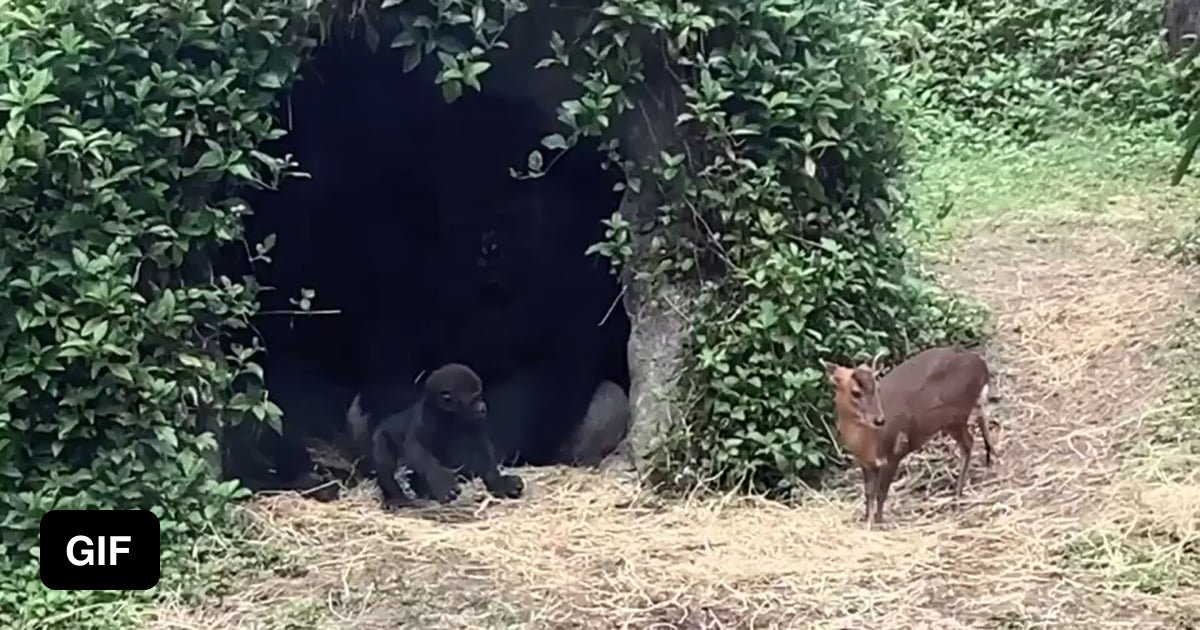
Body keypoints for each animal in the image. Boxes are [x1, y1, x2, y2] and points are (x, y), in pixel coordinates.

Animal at [355, 363, 525, 509]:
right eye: (474, 399)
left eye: (479, 396)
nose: (483, 408)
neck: (448, 415)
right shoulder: (425, 418)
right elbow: (416, 448)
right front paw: (441, 481)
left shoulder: (474, 423)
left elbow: (482, 453)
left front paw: (499, 483)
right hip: (381, 436)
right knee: (385, 463)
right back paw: (396, 498)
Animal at [822, 346, 994, 525]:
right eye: (855, 393)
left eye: (877, 388)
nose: (880, 420)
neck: (868, 442)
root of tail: (982, 366)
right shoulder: (867, 463)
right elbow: (868, 494)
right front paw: (867, 521)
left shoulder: (895, 452)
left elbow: (881, 494)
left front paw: (878, 523)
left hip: (955, 415)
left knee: (969, 442)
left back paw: (957, 495)